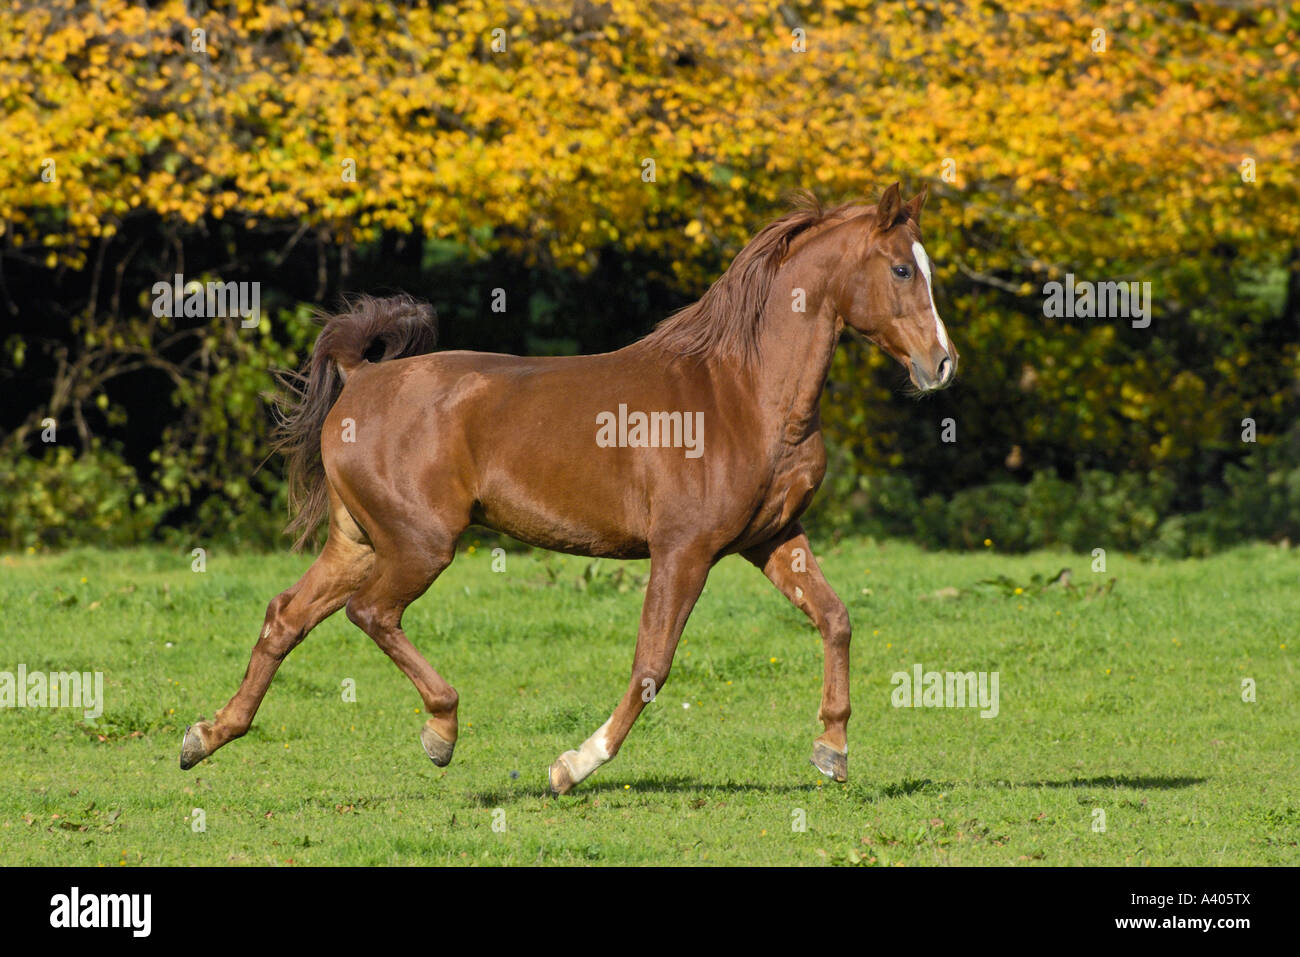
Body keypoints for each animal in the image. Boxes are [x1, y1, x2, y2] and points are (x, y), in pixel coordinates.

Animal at [179, 182, 958, 794]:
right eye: (899, 268)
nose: (941, 364)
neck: (743, 392)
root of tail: (362, 378)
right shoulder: (684, 551)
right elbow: (652, 664)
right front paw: (571, 765)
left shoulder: (771, 538)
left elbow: (836, 618)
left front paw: (831, 751)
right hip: (420, 546)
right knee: (370, 614)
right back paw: (441, 731)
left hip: (359, 543)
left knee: (286, 615)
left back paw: (205, 736)